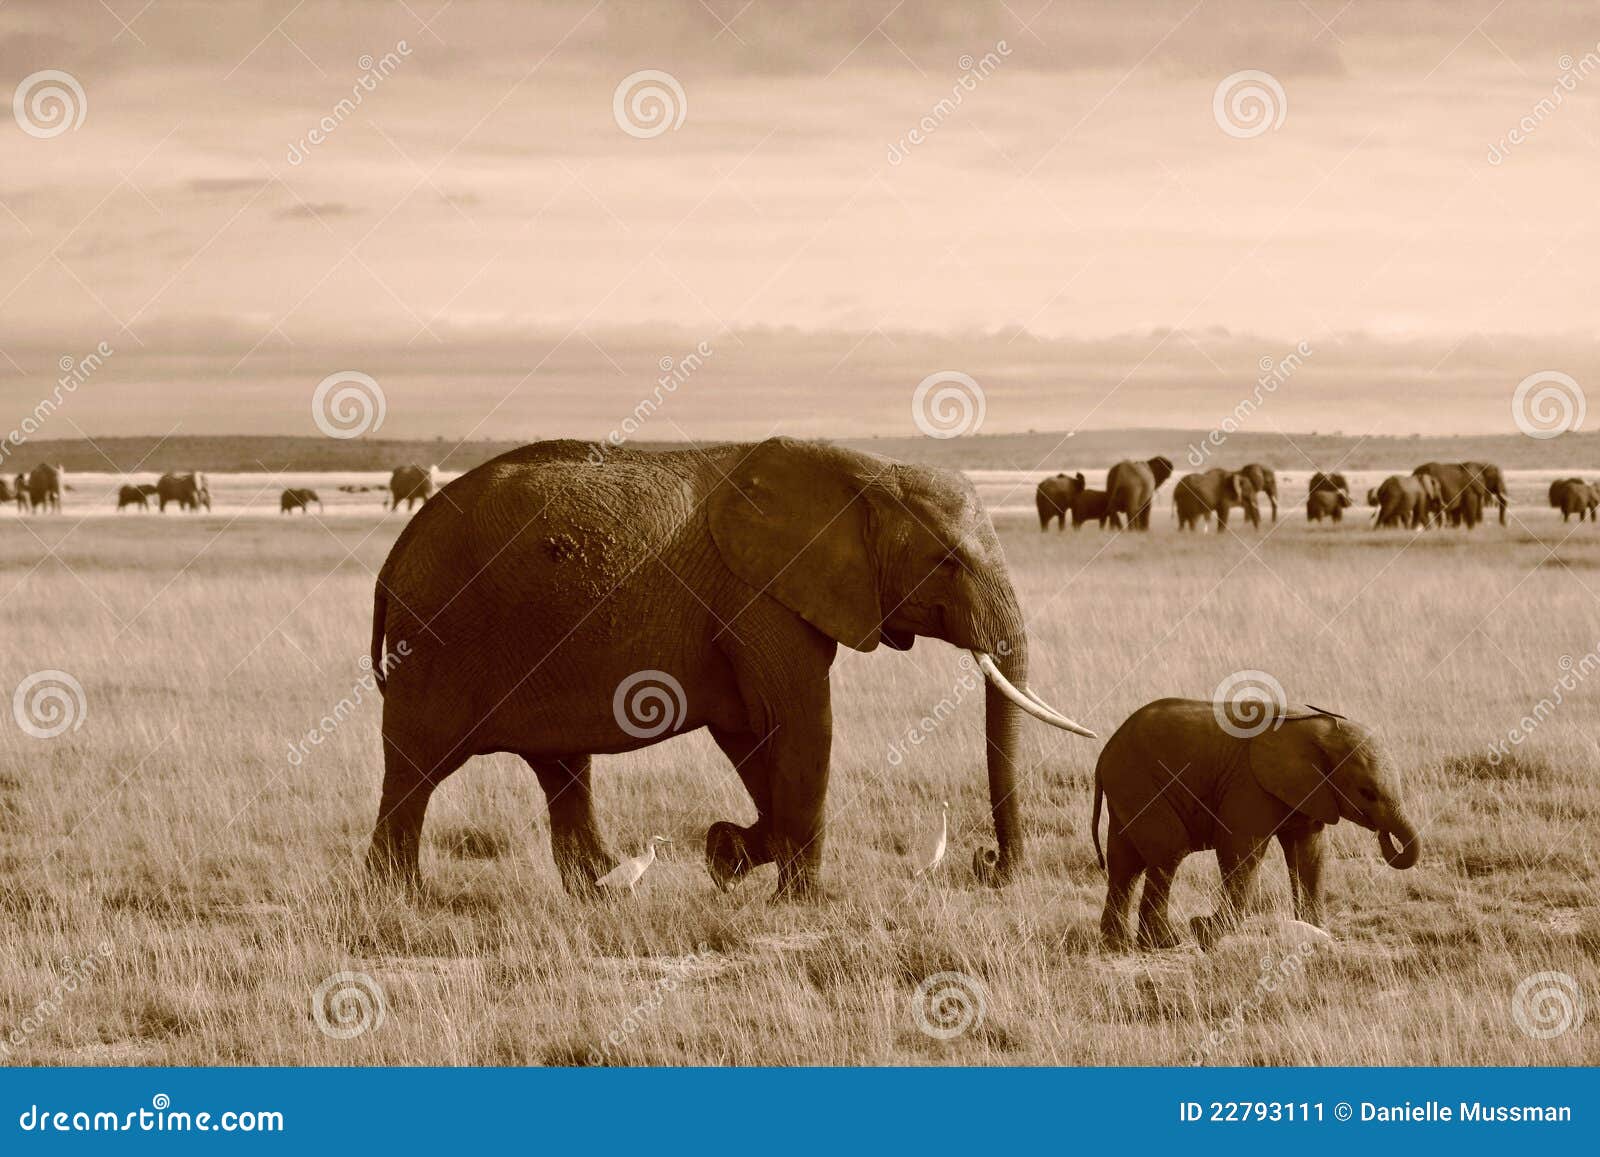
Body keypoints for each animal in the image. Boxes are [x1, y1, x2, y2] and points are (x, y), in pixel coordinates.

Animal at [365, 437, 1096, 900]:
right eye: (947, 562)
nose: (988, 864)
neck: (866, 470)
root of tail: (394, 555)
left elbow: (753, 735)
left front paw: (726, 855)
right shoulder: (759, 597)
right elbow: (801, 723)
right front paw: (799, 900)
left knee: (561, 769)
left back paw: (601, 891)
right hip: (436, 642)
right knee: (416, 766)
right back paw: (400, 897)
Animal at [1092, 698, 1420, 951]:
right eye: (1367, 793)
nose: (1383, 833)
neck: (1318, 731)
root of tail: (1104, 753)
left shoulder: (1310, 792)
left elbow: (1309, 854)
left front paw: (1315, 934)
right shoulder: (1248, 786)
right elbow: (1241, 851)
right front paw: (1204, 934)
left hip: (1127, 787)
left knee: (1125, 863)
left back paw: (1117, 945)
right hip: (1138, 782)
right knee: (1168, 851)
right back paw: (1164, 943)